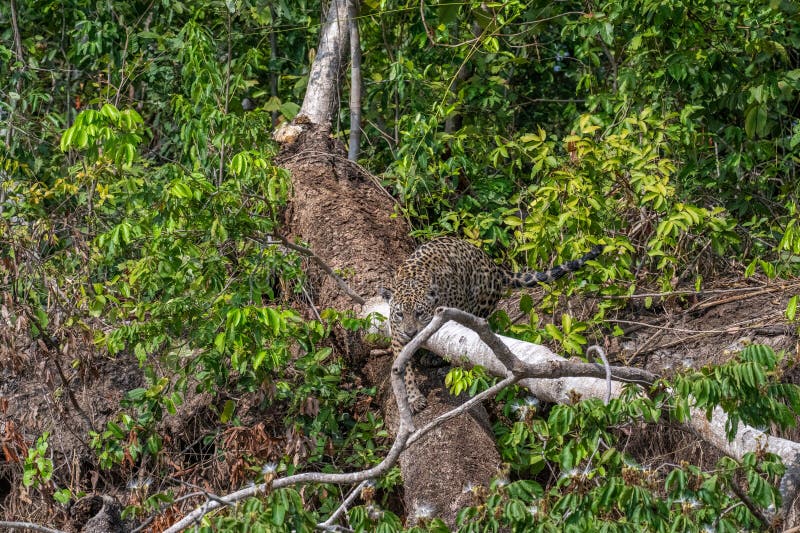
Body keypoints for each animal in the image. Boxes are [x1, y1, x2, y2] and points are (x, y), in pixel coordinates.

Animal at [380, 237, 602, 413]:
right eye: (399, 314)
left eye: (420, 313)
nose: (411, 332)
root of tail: (493, 264)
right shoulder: (398, 337)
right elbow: (404, 371)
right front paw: (413, 398)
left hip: (481, 301)